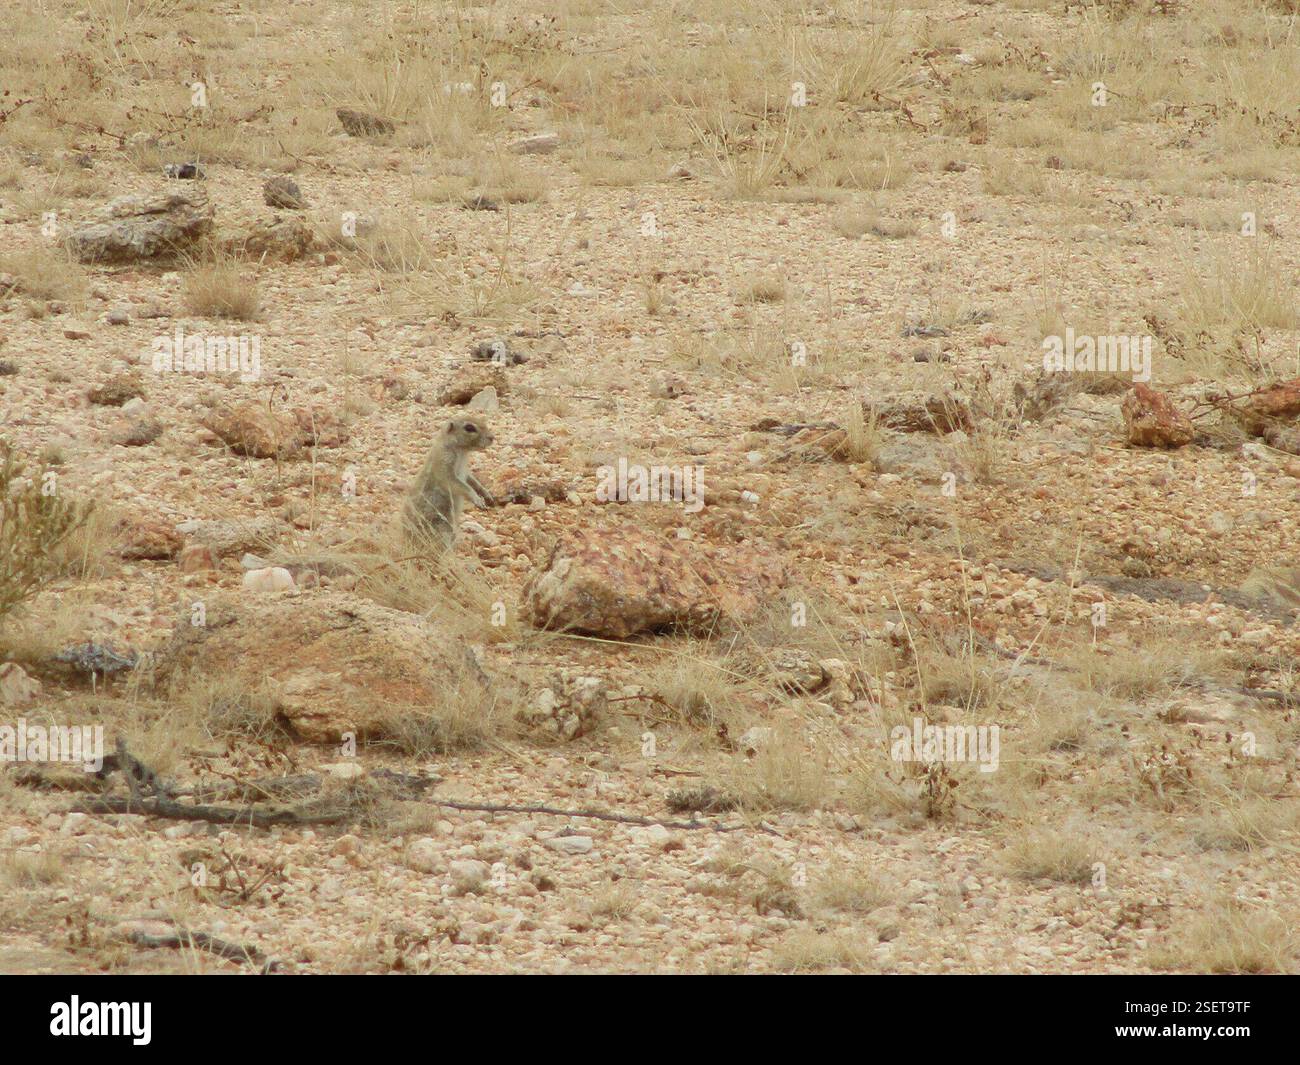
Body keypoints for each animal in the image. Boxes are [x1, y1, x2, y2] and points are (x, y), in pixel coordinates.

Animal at [402, 415, 494, 552]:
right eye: (469, 427)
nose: (492, 437)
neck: (461, 451)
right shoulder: (445, 465)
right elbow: (459, 485)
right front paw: (476, 498)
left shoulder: (465, 471)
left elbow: (472, 480)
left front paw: (486, 494)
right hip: (440, 526)